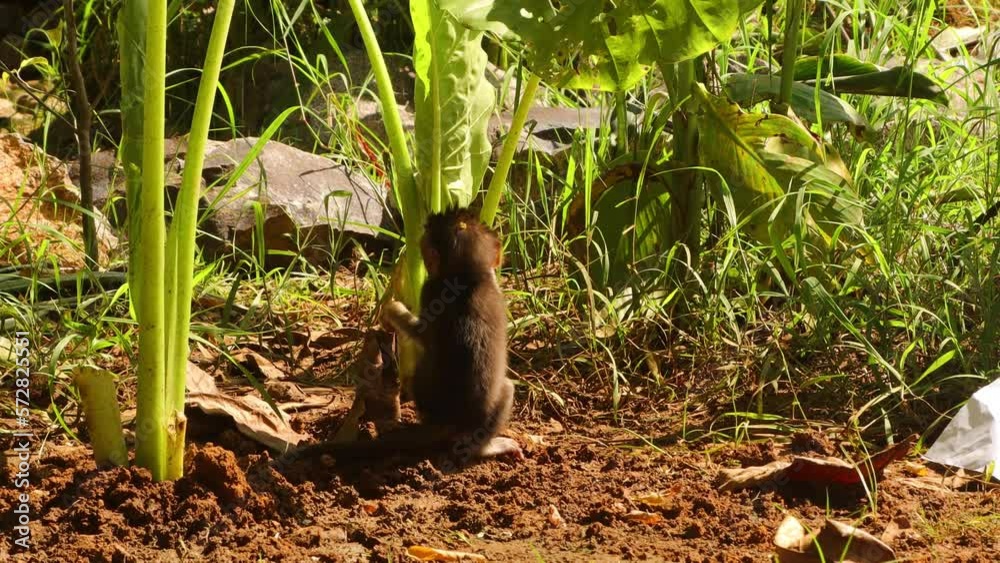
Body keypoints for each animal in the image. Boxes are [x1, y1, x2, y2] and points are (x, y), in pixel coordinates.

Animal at [287, 207, 521, 465]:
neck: (466, 277)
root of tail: (446, 423)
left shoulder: (430, 290)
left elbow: (420, 333)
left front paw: (391, 310)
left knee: (504, 392)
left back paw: (483, 449)